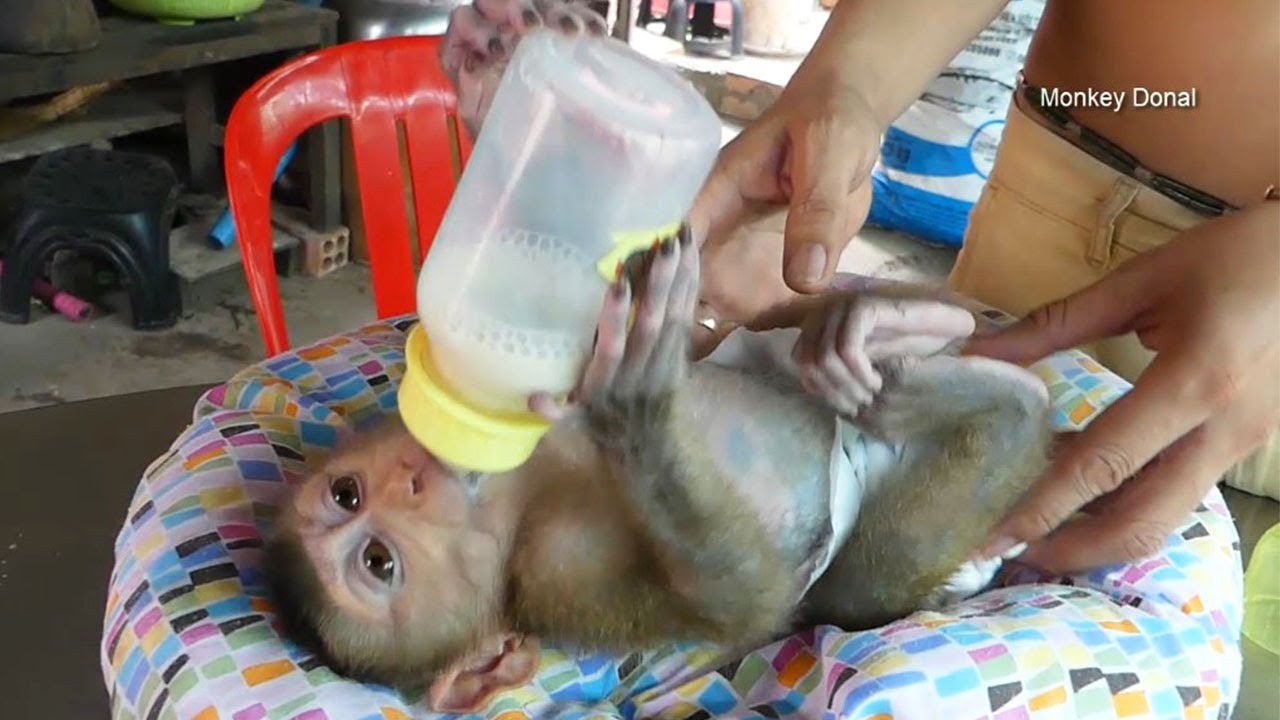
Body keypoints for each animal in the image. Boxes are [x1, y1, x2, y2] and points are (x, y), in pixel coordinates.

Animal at [264, 227, 1052, 713]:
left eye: (346, 493)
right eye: (378, 563)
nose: (413, 478)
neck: (519, 495)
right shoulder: (556, 574)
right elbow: (757, 603)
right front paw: (638, 408)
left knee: (798, 343)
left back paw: (882, 326)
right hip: (906, 548)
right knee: (881, 565)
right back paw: (1008, 400)